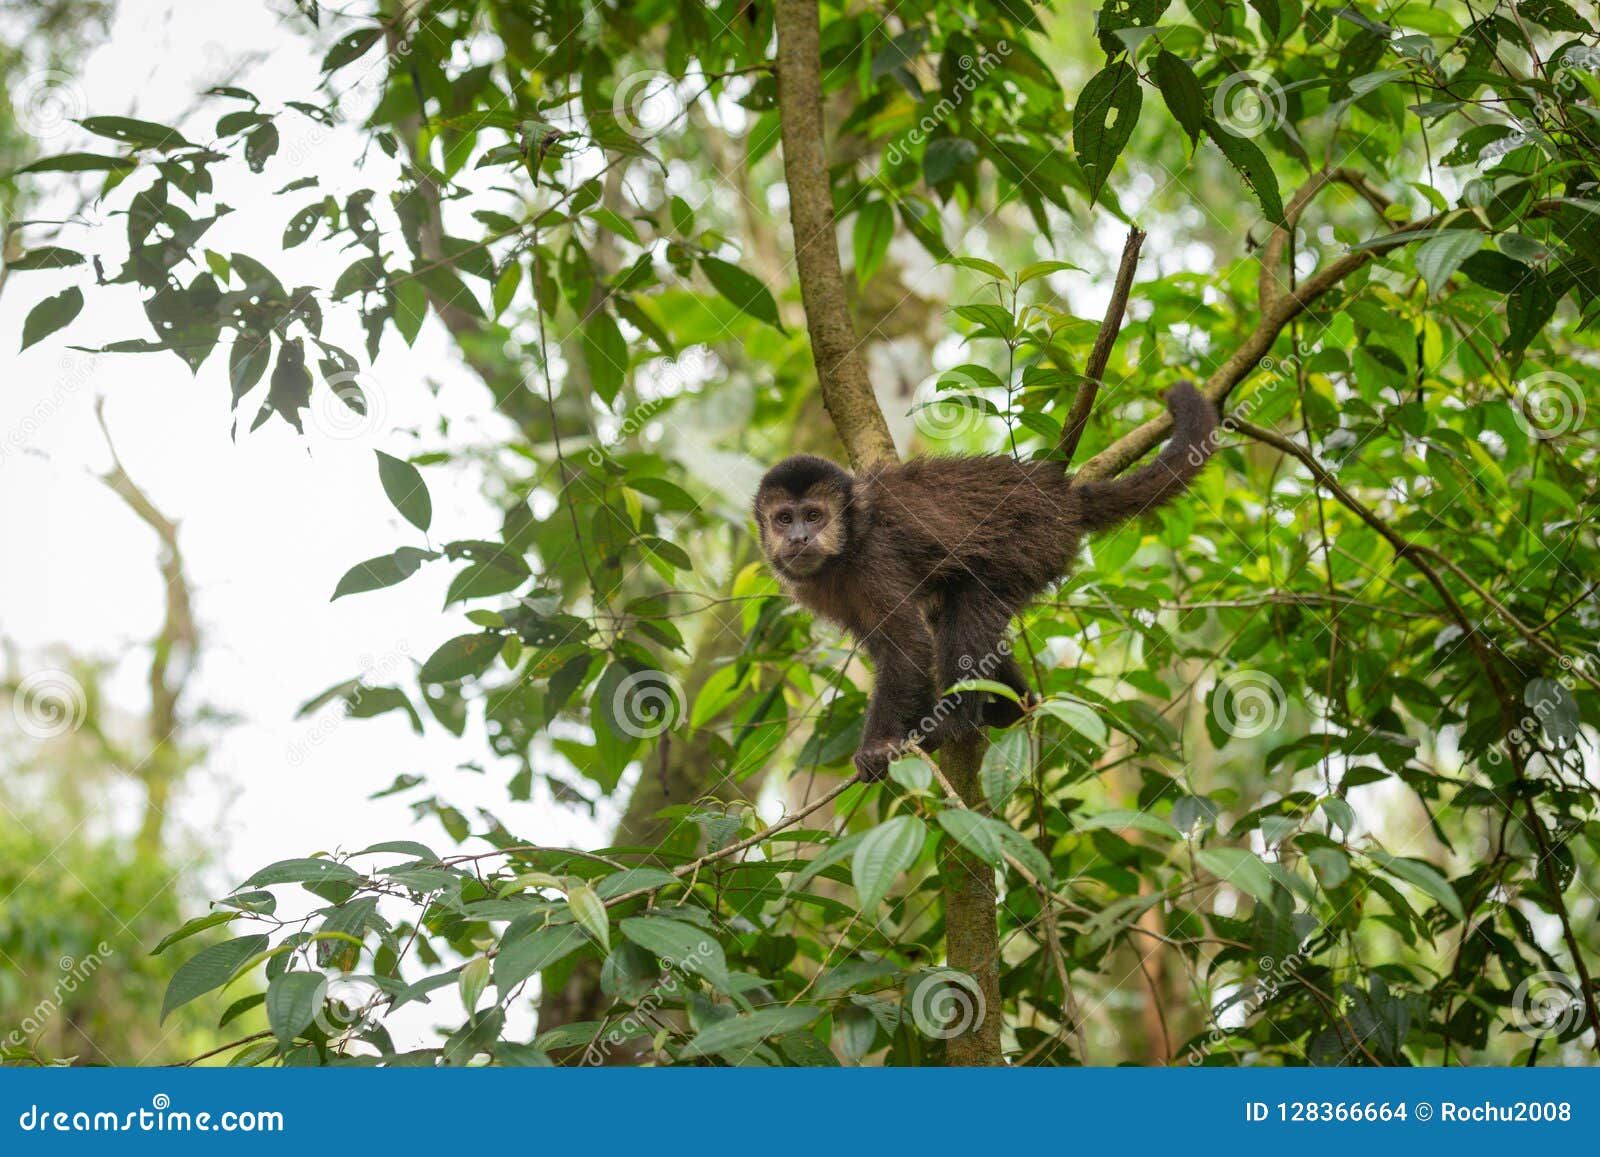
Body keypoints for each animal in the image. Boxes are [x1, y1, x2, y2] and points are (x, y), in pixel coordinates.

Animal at [753, 381, 1218, 781]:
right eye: (784, 519)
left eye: (814, 515)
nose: (798, 538)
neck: (845, 548)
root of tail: (1063, 497)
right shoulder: (819, 589)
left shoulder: (873, 561)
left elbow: (907, 647)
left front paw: (879, 746)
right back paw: (1020, 703)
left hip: (1033, 540)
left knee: (971, 605)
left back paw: (958, 720)